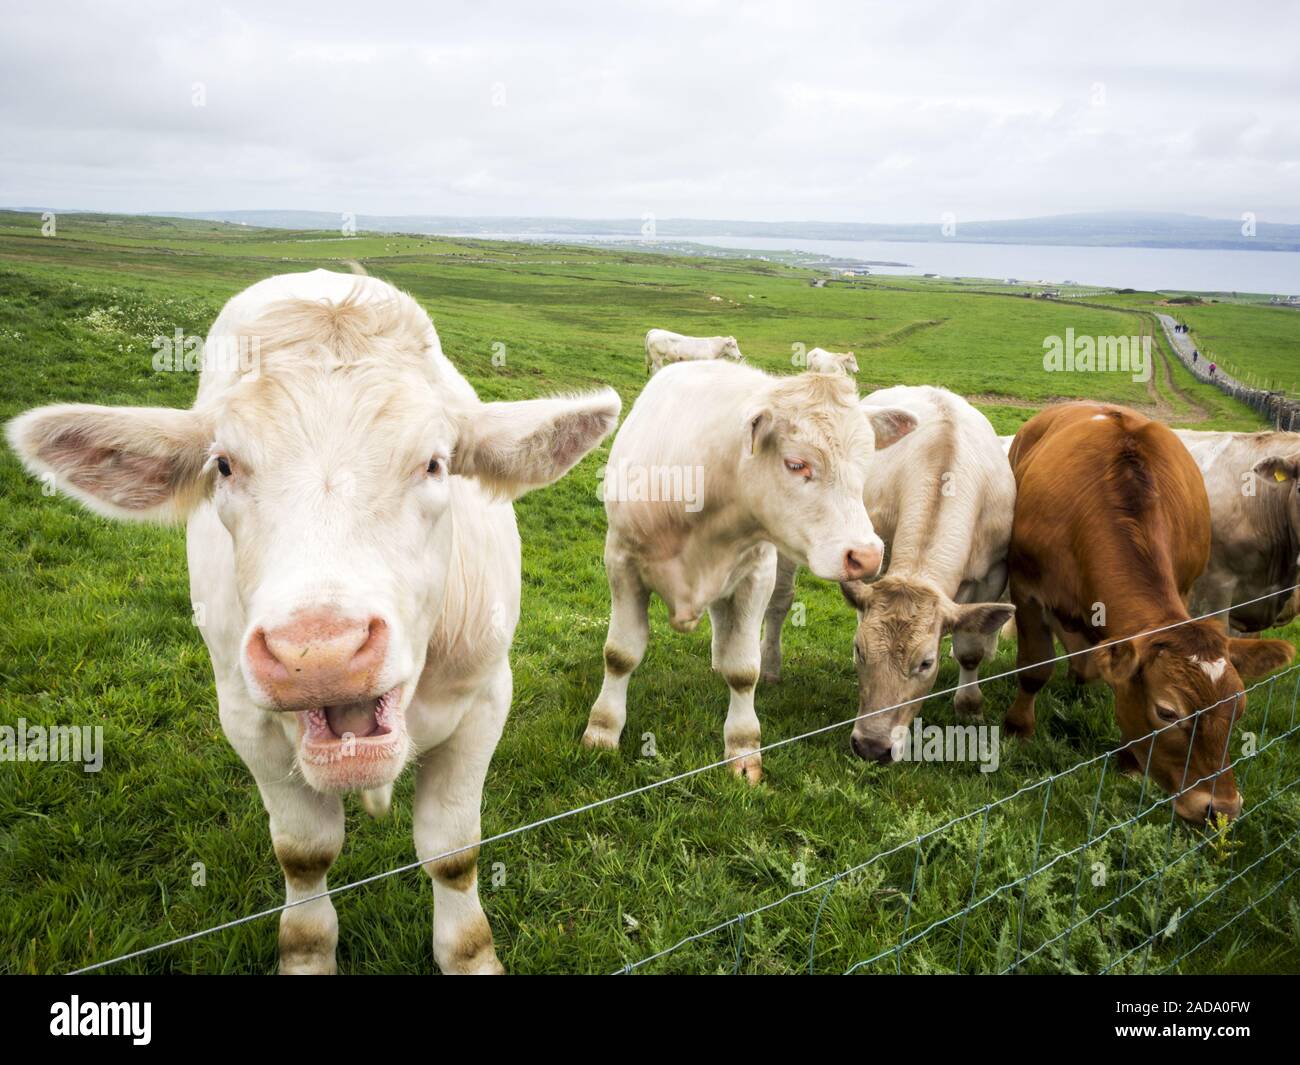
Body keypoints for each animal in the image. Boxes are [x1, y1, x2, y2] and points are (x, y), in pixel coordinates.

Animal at [6, 269, 620, 974]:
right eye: (224, 466)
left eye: (435, 463)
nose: (319, 653)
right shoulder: (246, 721)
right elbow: (304, 855)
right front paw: (306, 952)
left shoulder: (486, 697)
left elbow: (452, 853)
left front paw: (470, 953)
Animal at [583, 361, 918, 782]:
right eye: (796, 464)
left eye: (866, 465)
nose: (868, 555)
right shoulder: (621, 562)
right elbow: (620, 654)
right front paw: (602, 730)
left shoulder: (757, 574)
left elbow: (744, 669)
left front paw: (743, 749)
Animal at [761, 386, 1015, 762]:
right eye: (860, 650)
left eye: (926, 663)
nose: (871, 745)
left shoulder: (994, 572)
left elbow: (971, 647)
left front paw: (970, 705)